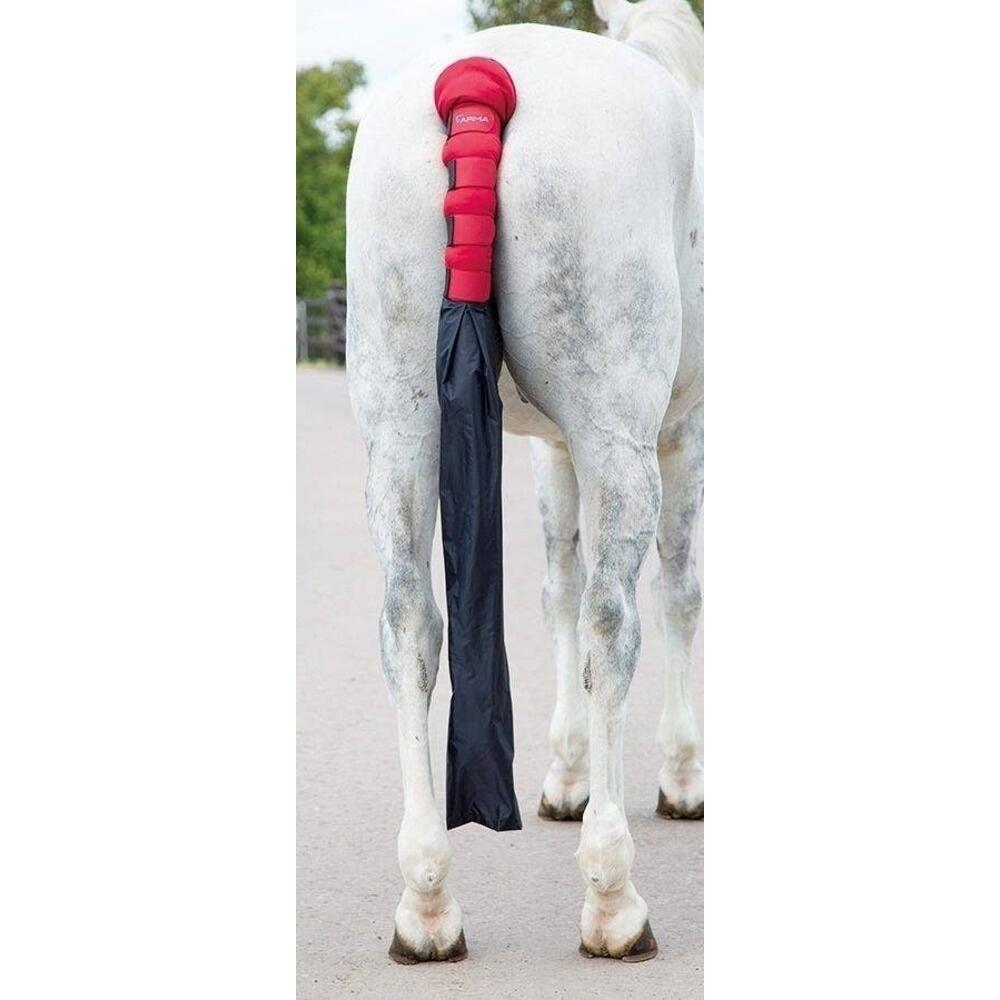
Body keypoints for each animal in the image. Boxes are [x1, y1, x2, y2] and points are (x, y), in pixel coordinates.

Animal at [346, 0, 703, 963]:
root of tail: (478, 85)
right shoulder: (677, 435)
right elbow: (678, 597)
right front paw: (683, 776)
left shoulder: (551, 450)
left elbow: (556, 593)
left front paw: (566, 774)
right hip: (618, 438)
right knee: (617, 622)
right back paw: (613, 900)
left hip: (400, 429)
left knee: (409, 624)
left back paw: (427, 903)